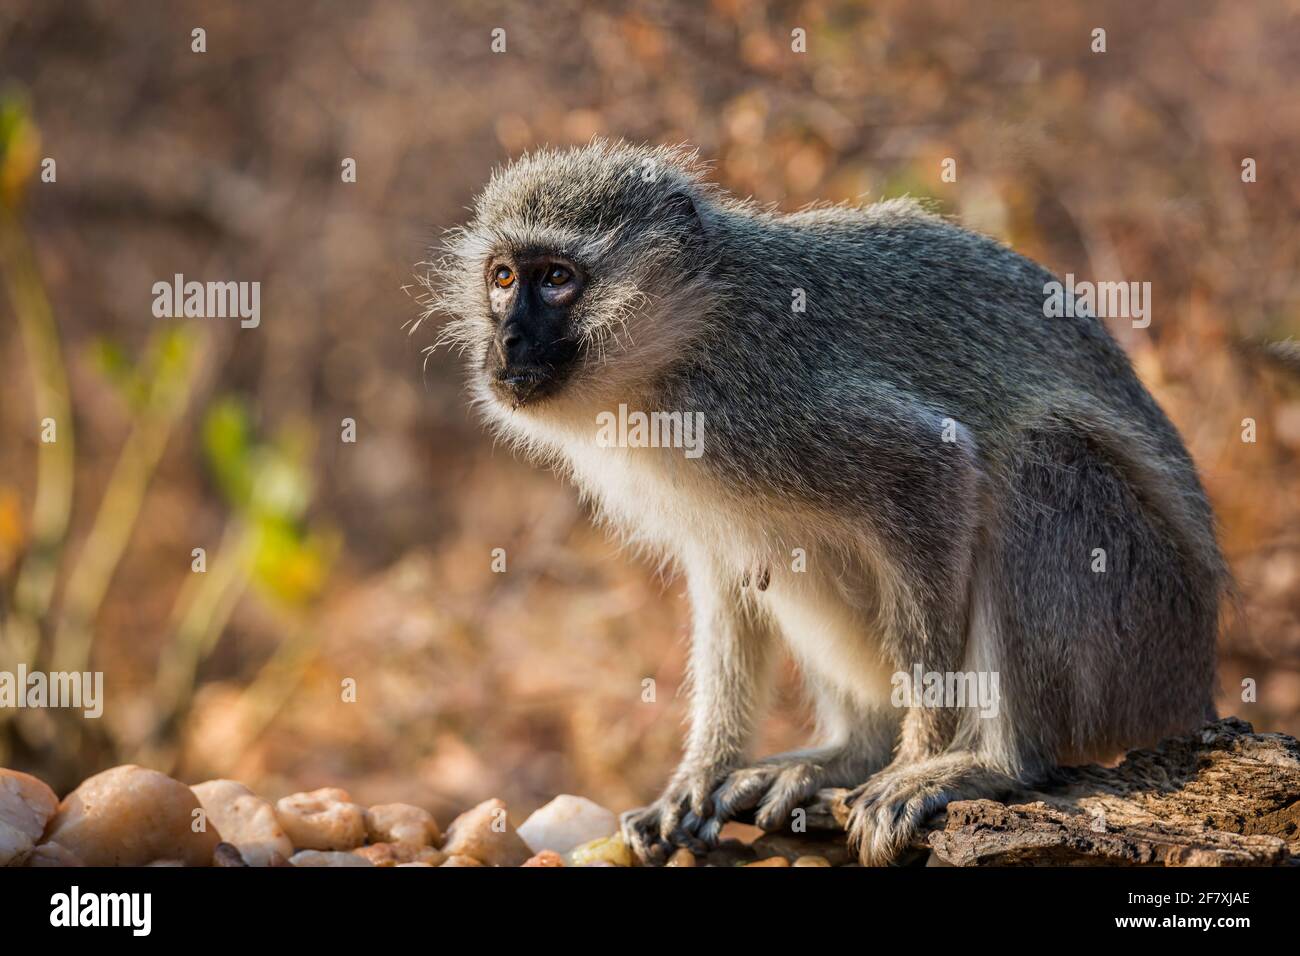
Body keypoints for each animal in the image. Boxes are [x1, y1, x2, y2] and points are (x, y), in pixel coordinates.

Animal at [422, 140, 1224, 866]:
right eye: (502, 277)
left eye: (558, 279)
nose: (507, 342)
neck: (676, 344)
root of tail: (1196, 686)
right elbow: (726, 576)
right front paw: (703, 771)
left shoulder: (760, 406)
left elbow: (935, 466)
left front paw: (922, 754)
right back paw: (848, 753)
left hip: (1146, 637)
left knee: (1044, 460)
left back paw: (994, 761)